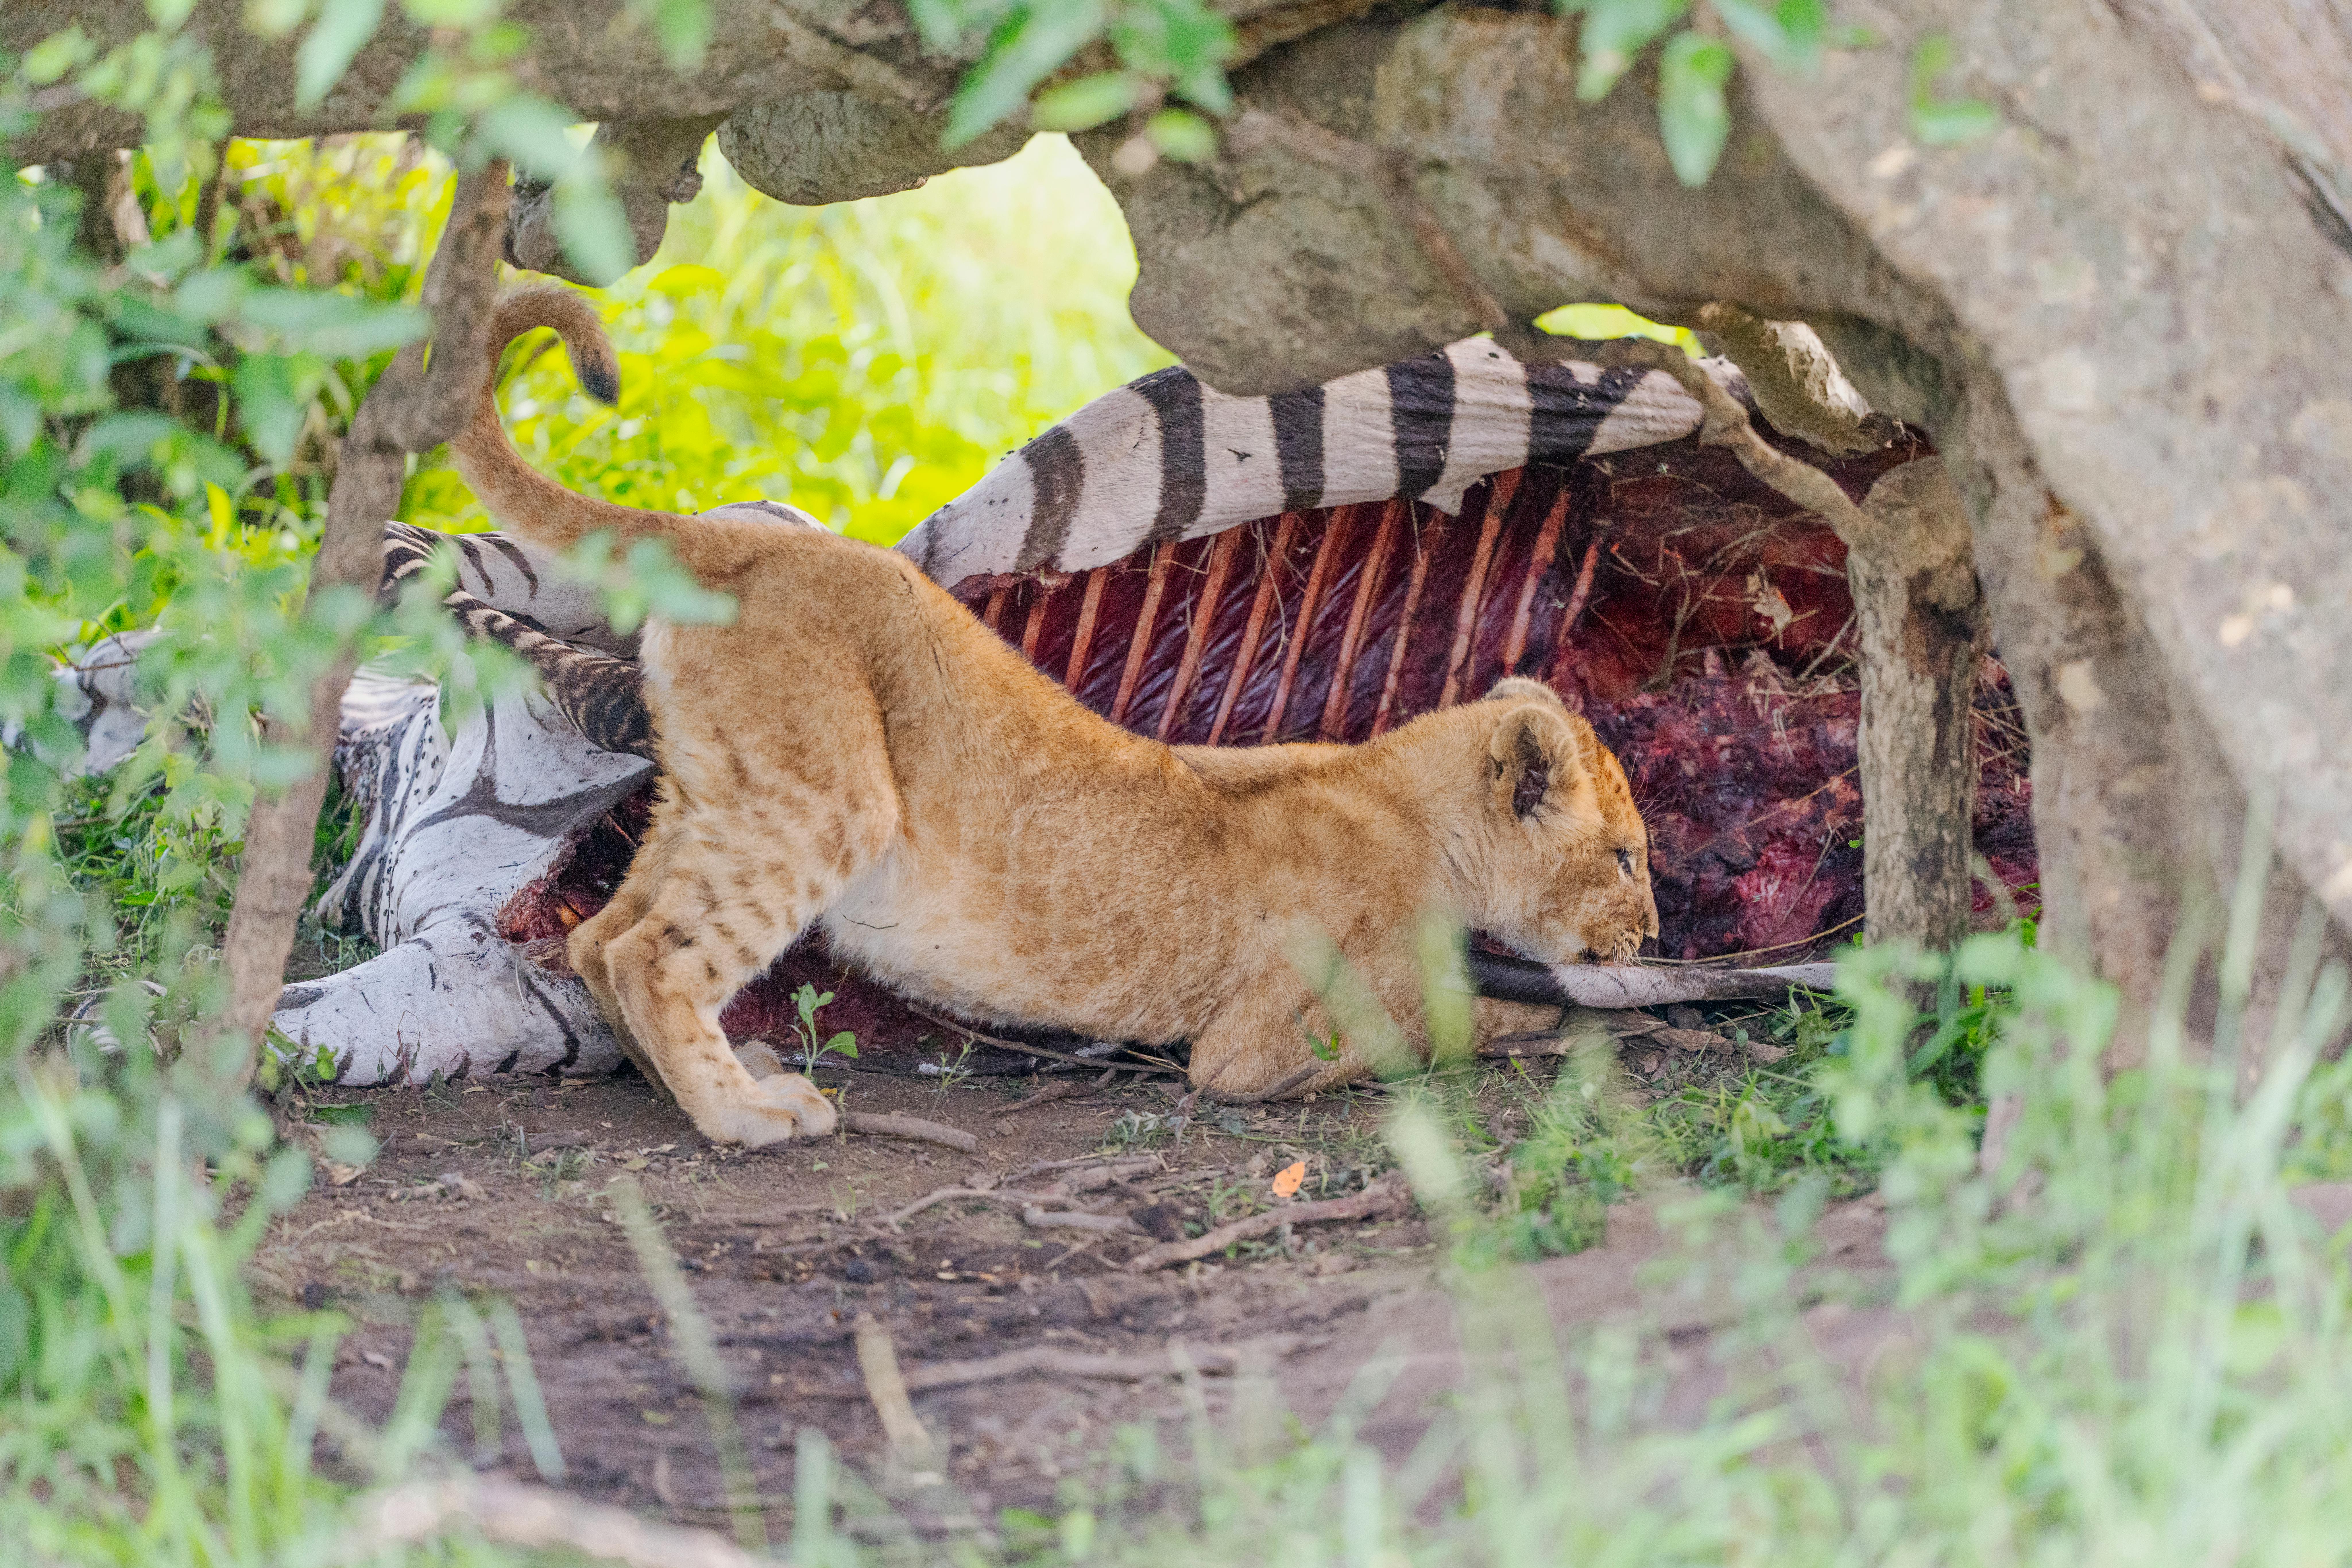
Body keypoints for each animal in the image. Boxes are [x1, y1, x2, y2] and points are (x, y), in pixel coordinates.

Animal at [449, 286, 1659, 1147]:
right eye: (1626, 856)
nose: (1655, 935)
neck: (1407, 802)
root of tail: (725, 535)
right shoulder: (1256, 1045)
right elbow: (1441, 1022)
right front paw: (1580, 1016)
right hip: (828, 798)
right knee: (654, 954)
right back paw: (745, 1116)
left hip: (720, 787)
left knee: (602, 937)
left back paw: (718, 1080)